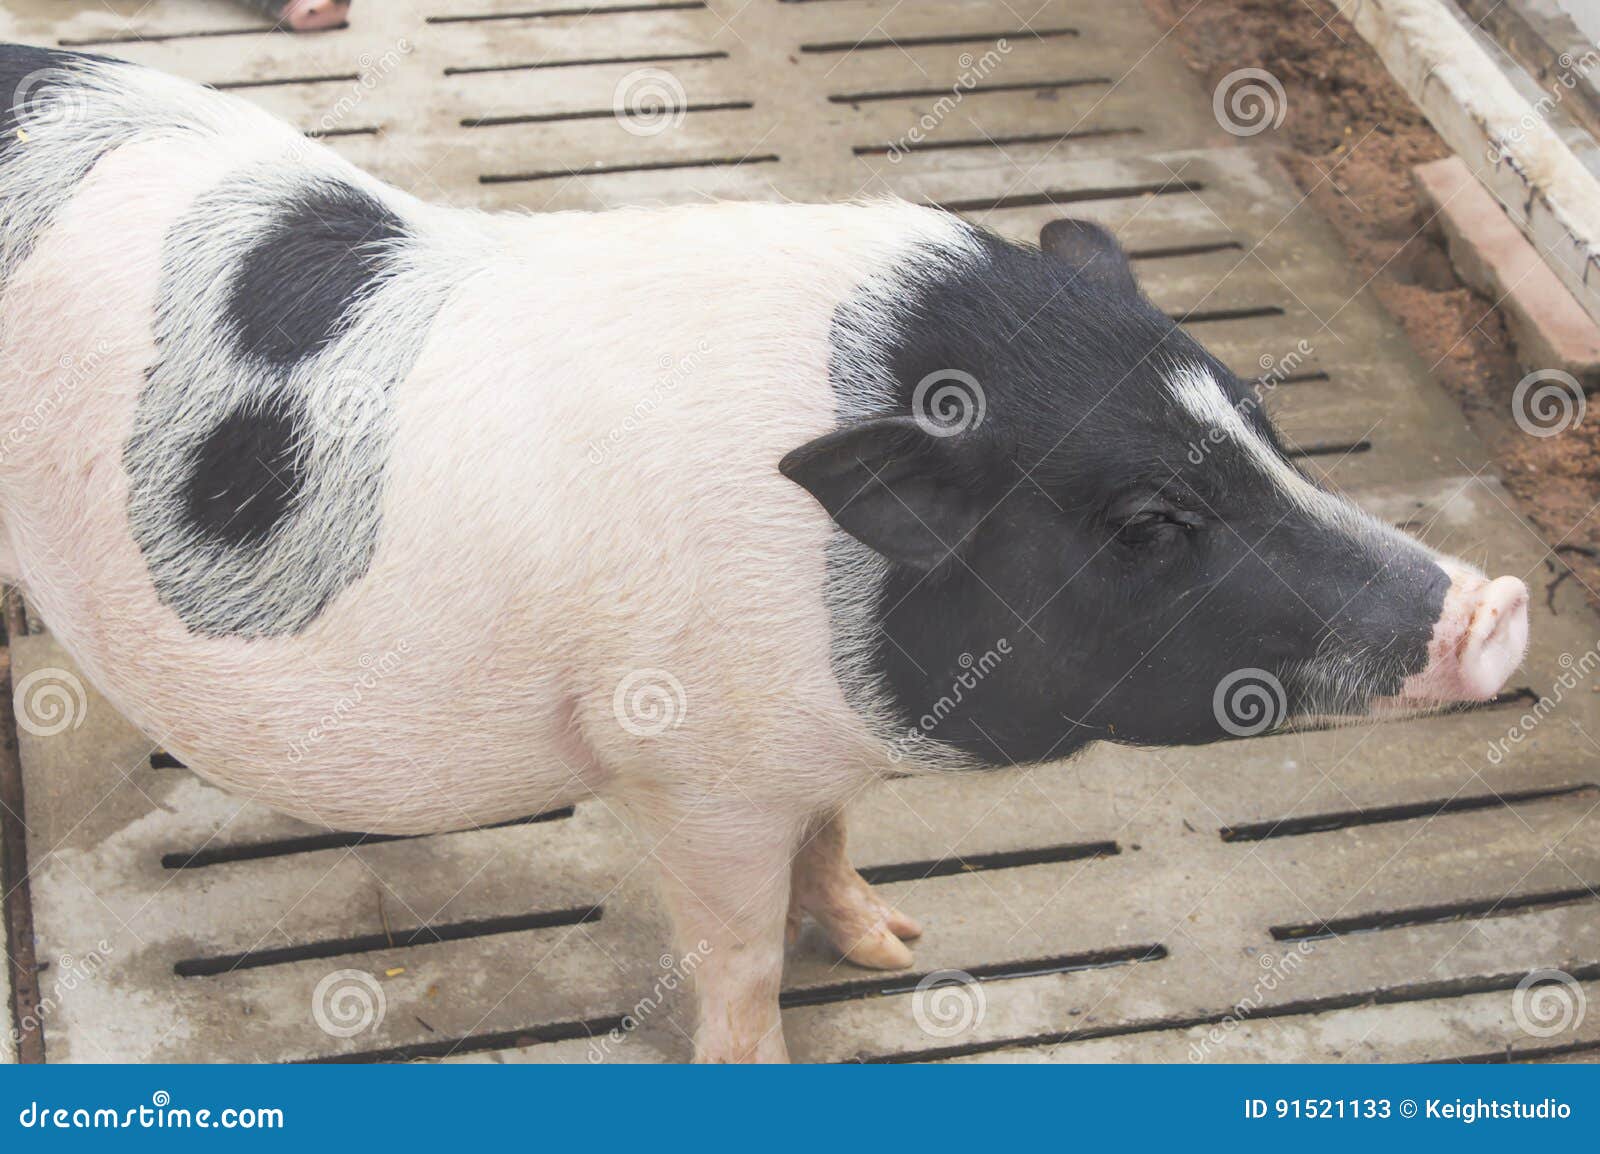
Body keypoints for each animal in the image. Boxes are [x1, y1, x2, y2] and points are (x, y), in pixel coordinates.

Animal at [0, 44, 1529, 1062]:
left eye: (1264, 430)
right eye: (1149, 521)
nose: (1499, 601)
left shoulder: (802, 752)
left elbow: (834, 836)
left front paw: (897, 943)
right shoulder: (692, 770)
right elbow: (733, 956)